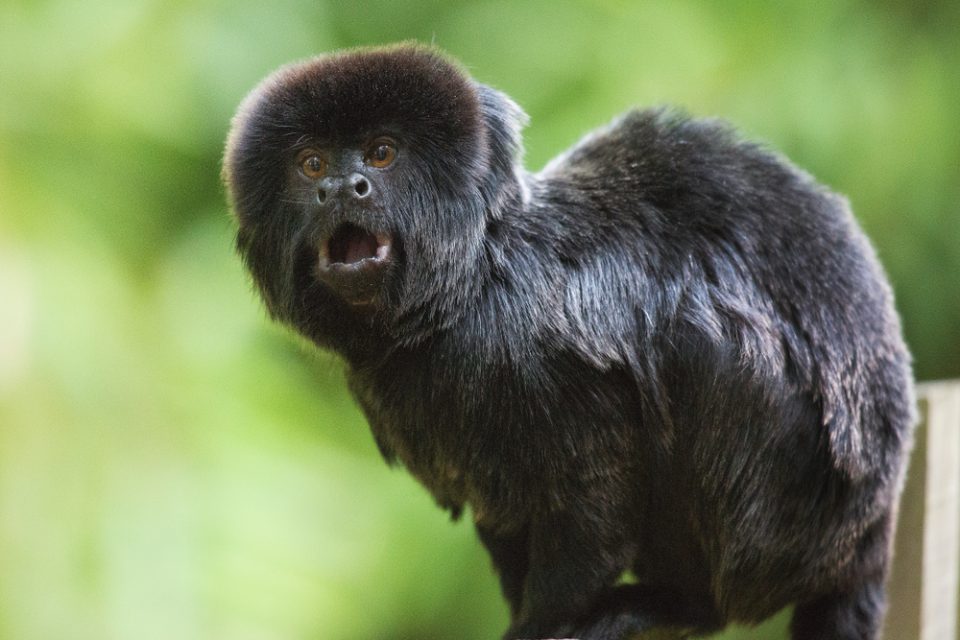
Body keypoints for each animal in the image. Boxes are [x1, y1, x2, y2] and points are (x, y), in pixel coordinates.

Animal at [222, 44, 915, 640]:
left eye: (382, 154)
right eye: (312, 163)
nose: (342, 189)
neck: (470, 287)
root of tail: (871, 527)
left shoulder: (543, 357)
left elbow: (595, 507)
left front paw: (540, 623)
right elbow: (504, 513)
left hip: (787, 521)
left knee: (702, 346)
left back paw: (684, 604)